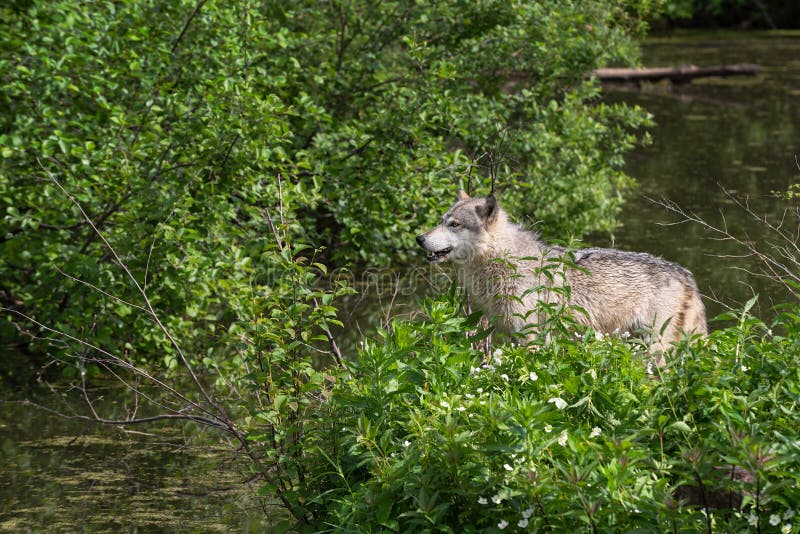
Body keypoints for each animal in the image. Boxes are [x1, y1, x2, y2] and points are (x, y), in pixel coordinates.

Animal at [416, 191, 707, 363]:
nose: (419, 238)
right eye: (442, 220)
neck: (506, 260)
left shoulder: (531, 338)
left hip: (655, 347)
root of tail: (686, 275)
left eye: (454, 224)